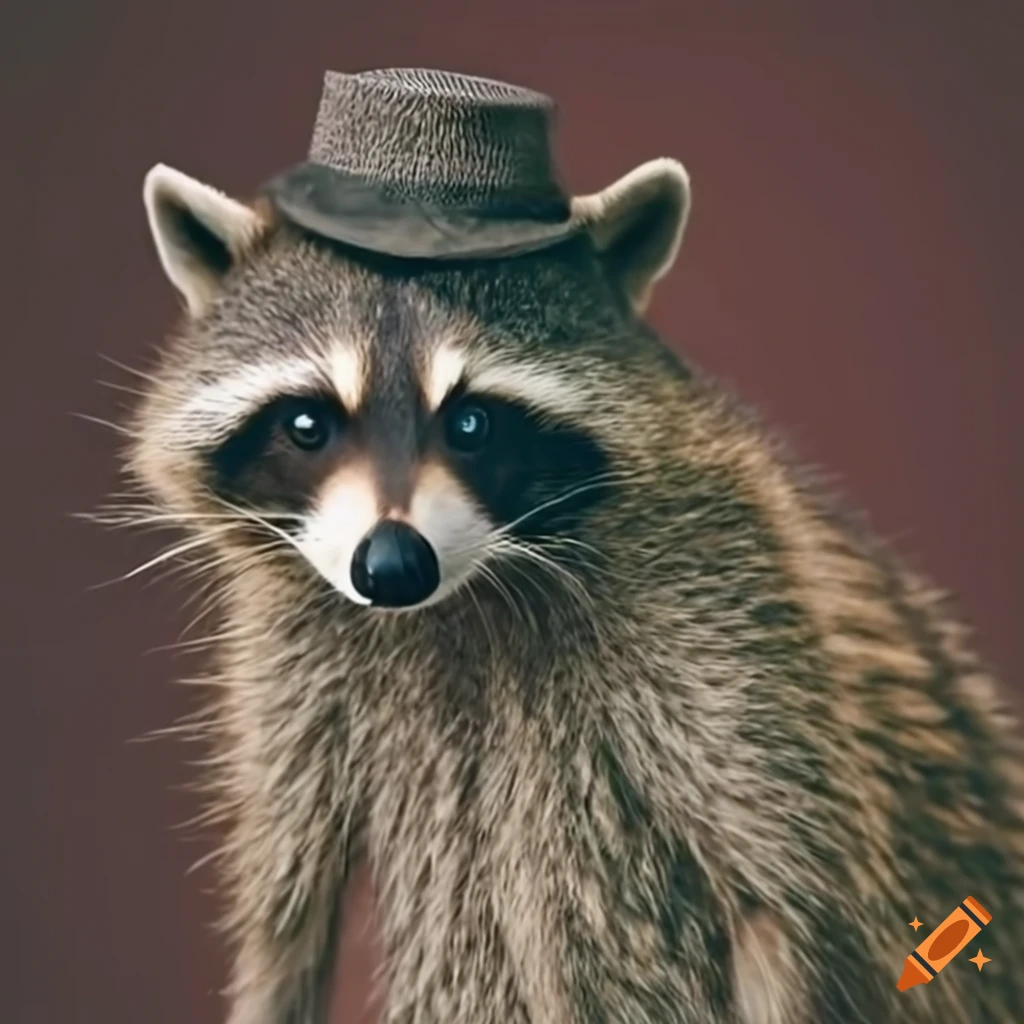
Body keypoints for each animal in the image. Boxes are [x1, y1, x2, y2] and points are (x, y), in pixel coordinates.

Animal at [117, 131, 1024, 1024]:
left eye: (472, 423)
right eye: (308, 423)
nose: (392, 566)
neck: (465, 597)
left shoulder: (728, 609)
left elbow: (785, 897)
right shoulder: (291, 663)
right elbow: (288, 915)